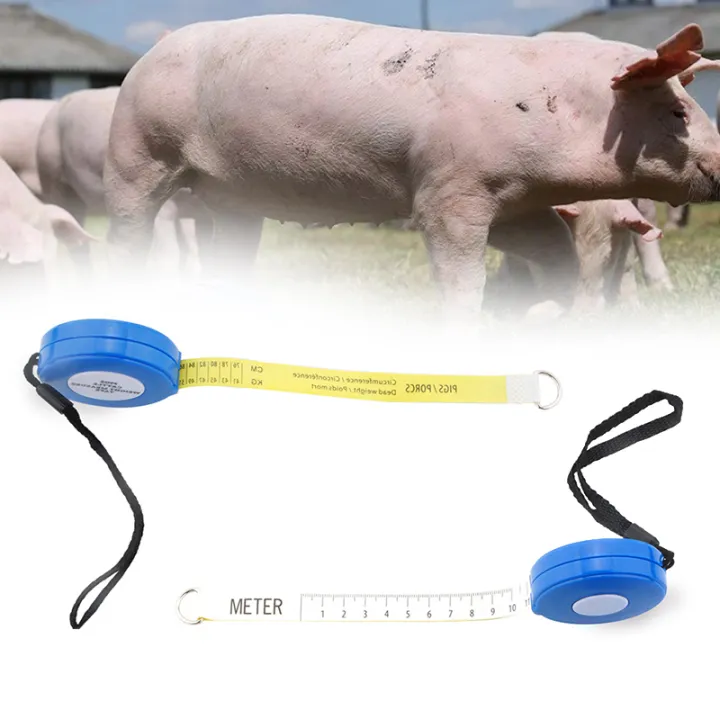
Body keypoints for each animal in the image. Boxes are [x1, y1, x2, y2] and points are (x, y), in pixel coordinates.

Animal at [104, 17, 720, 318]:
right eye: (677, 112)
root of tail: (153, 51)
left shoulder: (517, 205)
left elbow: (556, 254)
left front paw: (543, 312)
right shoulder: (451, 191)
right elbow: (461, 278)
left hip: (232, 198)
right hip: (137, 151)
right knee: (129, 232)